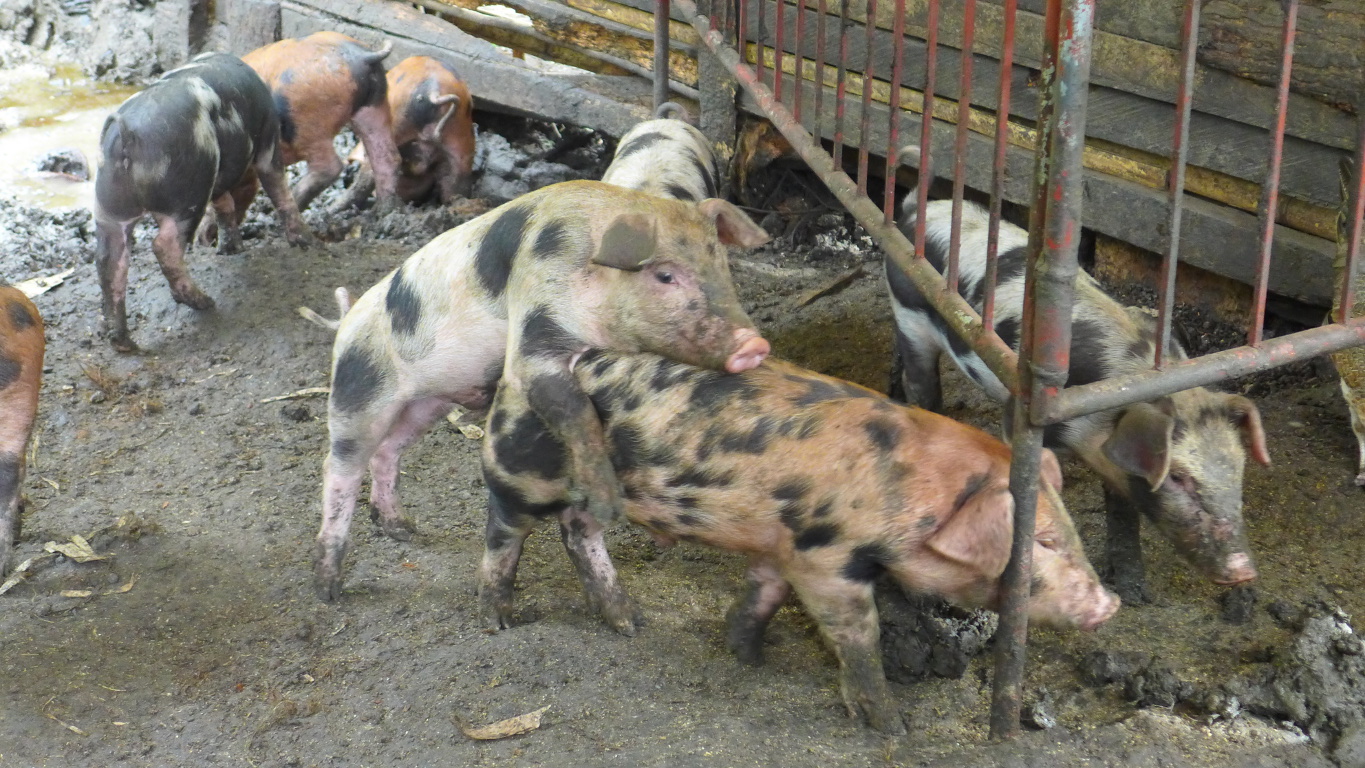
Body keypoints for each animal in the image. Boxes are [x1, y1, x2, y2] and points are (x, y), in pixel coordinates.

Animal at [93, 52, 313, 352]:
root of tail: (128, 136)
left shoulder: (219, 183)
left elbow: (225, 206)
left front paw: (230, 249)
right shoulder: (268, 141)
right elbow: (279, 188)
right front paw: (304, 242)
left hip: (109, 209)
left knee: (110, 261)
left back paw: (123, 343)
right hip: (187, 196)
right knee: (163, 246)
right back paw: (205, 303)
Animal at [239, 32, 403, 213]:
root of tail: (362, 56)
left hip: (309, 122)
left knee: (329, 167)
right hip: (373, 105)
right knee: (387, 158)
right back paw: (380, 213)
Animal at [310, 180, 771, 601]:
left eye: (722, 265)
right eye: (665, 275)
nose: (754, 346)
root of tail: (344, 322)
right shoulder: (534, 333)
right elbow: (574, 408)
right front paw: (608, 507)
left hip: (426, 403)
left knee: (388, 452)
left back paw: (404, 531)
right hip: (358, 392)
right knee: (339, 468)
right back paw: (329, 588)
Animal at [479, 351, 1119, 733]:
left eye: (1068, 531)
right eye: (1041, 540)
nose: (1109, 604)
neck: (909, 490)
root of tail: (517, 374)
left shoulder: (781, 545)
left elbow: (763, 593)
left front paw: (747, 655)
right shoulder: (826, 557)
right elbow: (859, 633)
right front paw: (891, 727)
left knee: (578, 534)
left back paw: (630, 623)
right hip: (523, 470)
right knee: (505, 531)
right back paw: (499, 621)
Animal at [885, 146, 1270, 603]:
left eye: (1238, 468)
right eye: (1177, 476)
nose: (1243, 571)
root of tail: (915, 210)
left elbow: (1122, 516)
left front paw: (1135, 594)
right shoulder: (1019, 414)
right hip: (911, 313)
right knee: (922, 382)